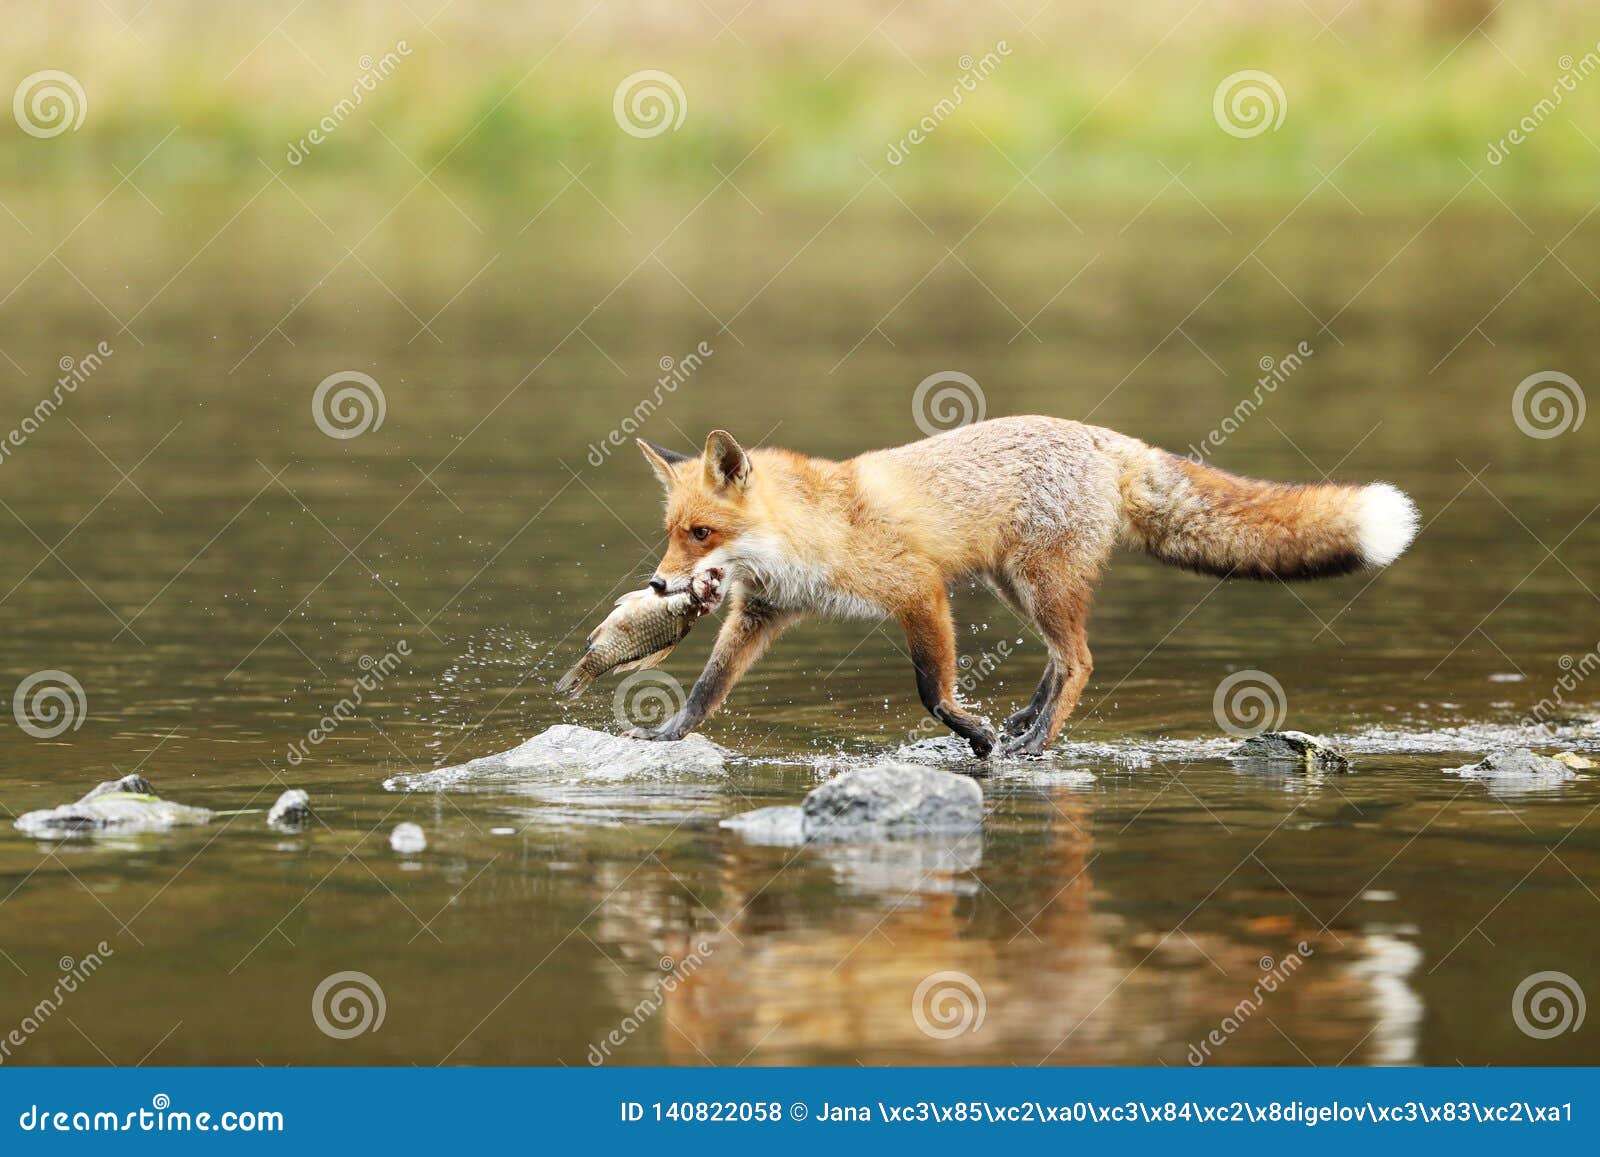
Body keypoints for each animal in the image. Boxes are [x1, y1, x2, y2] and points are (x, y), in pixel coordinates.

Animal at [627, 416, 1419, 757]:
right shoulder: (762, 612)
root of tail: (1104, 437)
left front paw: (971, 732)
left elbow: (931, 689)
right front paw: (666, 735)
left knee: (1082, 661)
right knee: (1062, 659)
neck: (812, 530)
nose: (659, 582)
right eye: (671, 531)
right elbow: (708, 688)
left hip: (1040, 584)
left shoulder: (919, 590)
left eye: (701, 533)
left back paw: (1034, 741)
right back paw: (1028, 722)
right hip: (1019, 588)